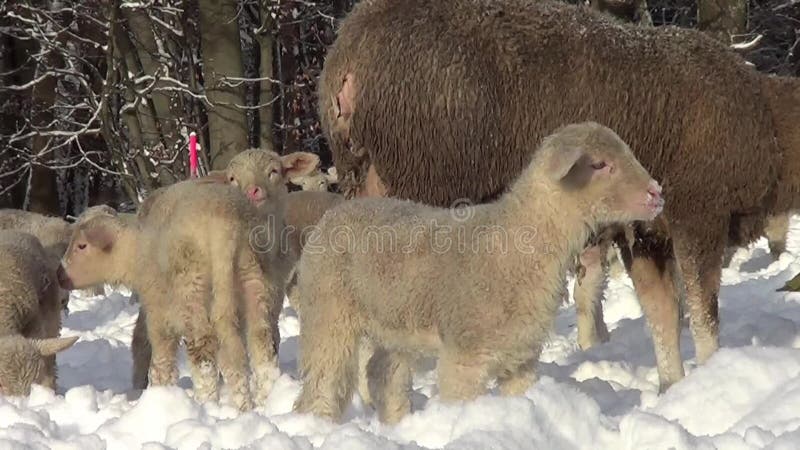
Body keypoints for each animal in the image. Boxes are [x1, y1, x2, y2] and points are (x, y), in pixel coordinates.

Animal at [292, 122, 664, 423]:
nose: (657, 193)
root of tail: (336, 213)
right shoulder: (464, 357)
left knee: (384, 375)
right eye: (599, 164)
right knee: (323, 384)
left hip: (394, 324)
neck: (515, 243)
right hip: (328, 314)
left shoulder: (521, 357)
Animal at [319, 0, 800, 391]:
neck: (771, 126)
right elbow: (703, 317)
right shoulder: (698, 211)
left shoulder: (645, 230)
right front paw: (711, 376)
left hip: (362, 183)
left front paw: (673, 387)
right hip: (420, 183)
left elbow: (662, 314)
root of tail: (352, 51)